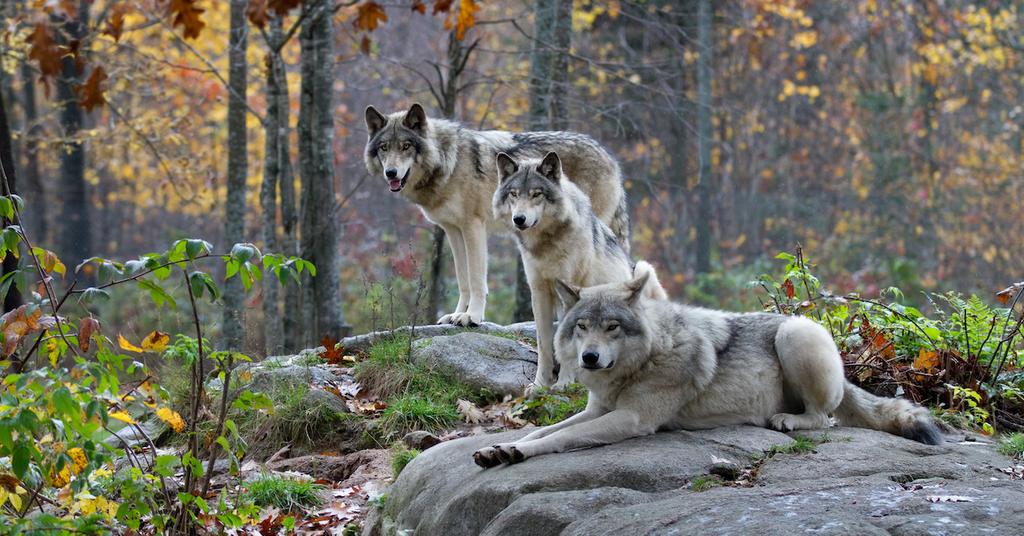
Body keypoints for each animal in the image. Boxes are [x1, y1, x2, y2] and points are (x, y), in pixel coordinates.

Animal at [364, 103, 629, 326]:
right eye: (384, 148)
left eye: (406, 146)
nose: (391, 172)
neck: (449, 161)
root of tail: (610, 157)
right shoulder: (453, 230)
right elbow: (463, 279)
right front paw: (456, 314)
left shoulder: (473, 227)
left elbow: (476, 279)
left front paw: (472, 317)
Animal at [473, 266, 944, 467]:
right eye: (583, 327)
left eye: (612, 327)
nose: (589, 357)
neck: (646, 357)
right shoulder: (598, 409)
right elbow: (543, 430)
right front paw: (501, 446)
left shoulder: (632, 419)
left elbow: (561, 438)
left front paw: (517, 452)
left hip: (794, 334)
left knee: (824, 419)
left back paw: (787, 420)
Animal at [492, 151, 665, 389]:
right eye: (514, 194)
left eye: (537, 194)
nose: (519, 219)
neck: (546, 244)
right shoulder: (539, 292)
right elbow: (544, 344)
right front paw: (540, 385)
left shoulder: (570, 291)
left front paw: (564, 383)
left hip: (642, 268)